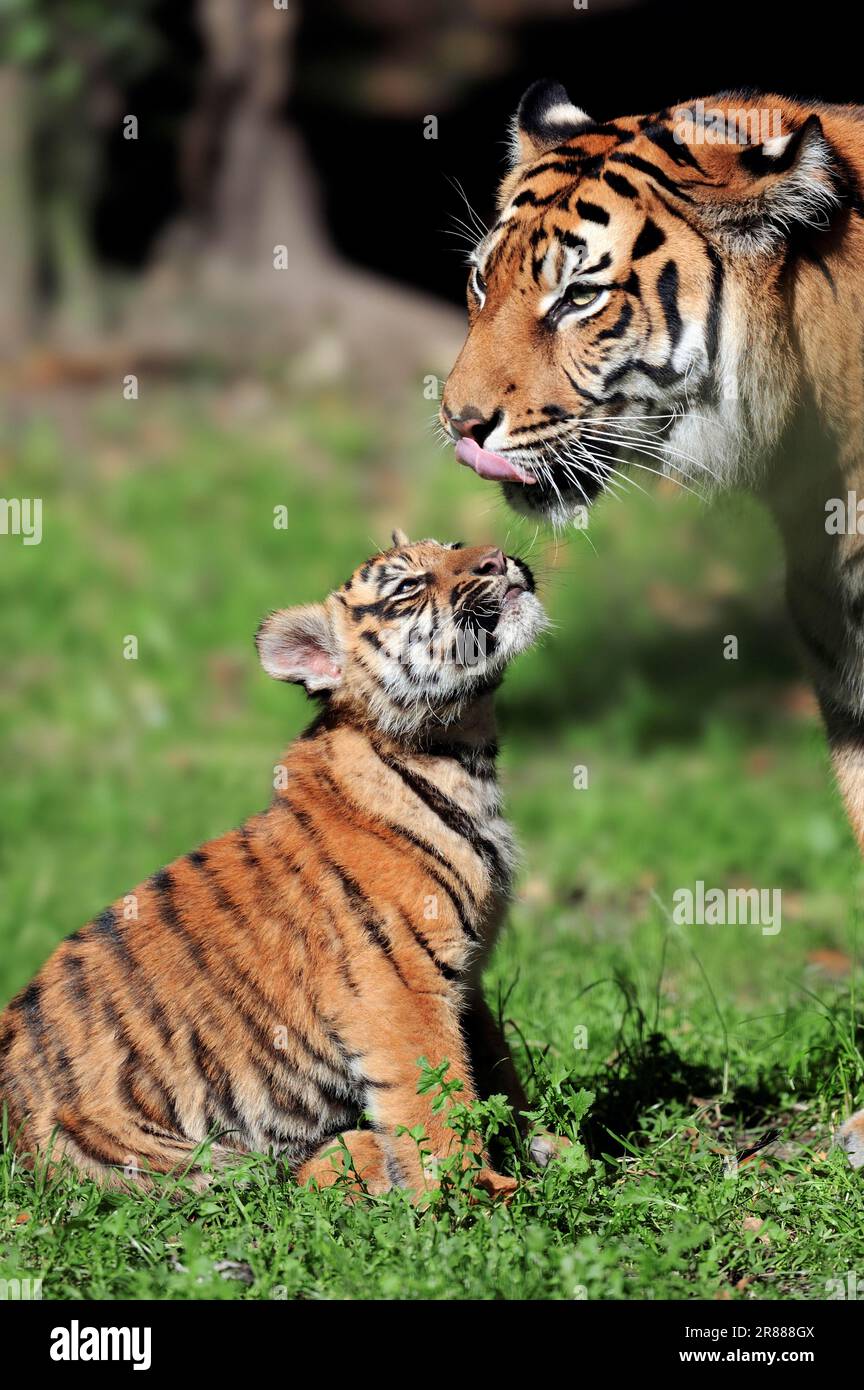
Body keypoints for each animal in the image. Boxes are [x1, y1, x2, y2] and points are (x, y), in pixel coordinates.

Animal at [0, 532, 548, 1197]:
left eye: (454, 544)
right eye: (407, 587)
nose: (496, 557)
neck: (463, 751)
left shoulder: (466, 979)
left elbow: (496, 1071)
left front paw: (544, 1146)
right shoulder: (398, 985)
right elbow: (438, 1096)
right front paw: (478, 1196)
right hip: (186, 1162)